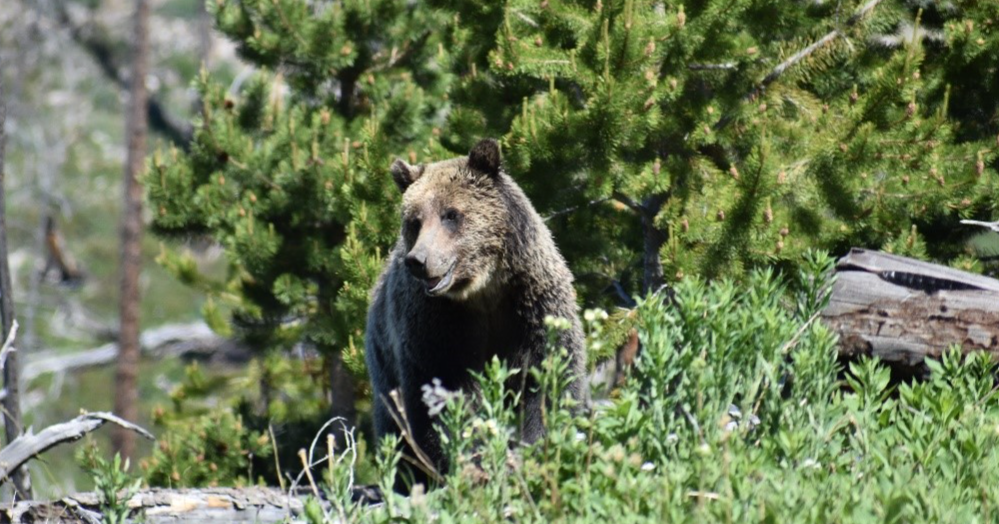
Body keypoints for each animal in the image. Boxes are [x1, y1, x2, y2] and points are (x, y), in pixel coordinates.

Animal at [364, 138, 587, 488]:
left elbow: (548, 377)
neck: (482, 289)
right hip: (384, 367)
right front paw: (472, 463)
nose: (418, 260)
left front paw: (534, 451)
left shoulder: (533, 307)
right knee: (394, 432)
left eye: (450, 214)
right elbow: (440, 392)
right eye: (415, 221)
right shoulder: (436, 325)